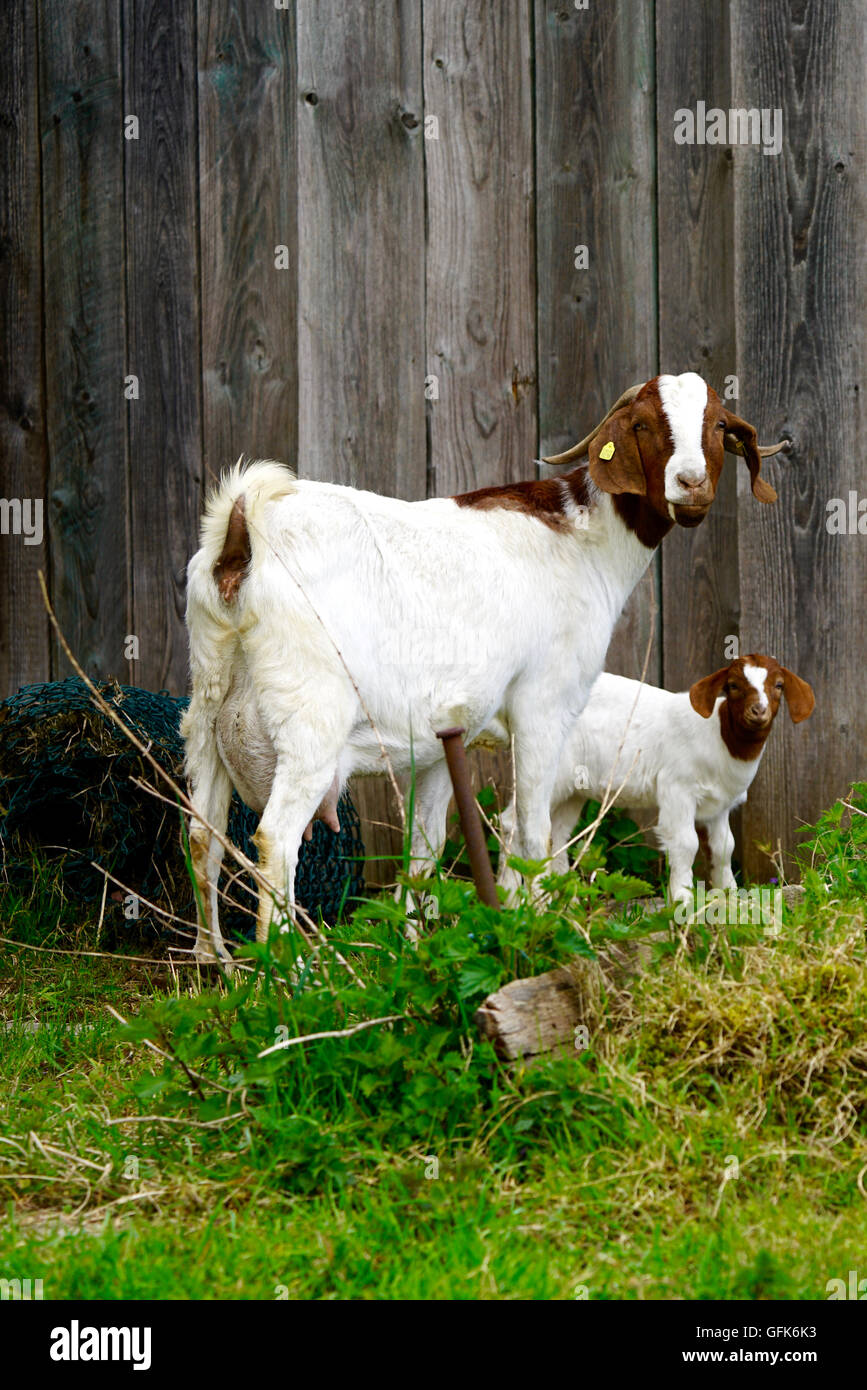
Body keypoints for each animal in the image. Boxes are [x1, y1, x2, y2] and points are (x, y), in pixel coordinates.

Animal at [498, 657, 815, 906]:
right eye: (734, 685)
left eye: (778, 685)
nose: (758, 711)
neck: (719, 735)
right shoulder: (677, 789)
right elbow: (686, 843)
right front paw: (683, 899)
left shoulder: (720, 804)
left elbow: (725, 846)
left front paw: (729, 895)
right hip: (547, 769)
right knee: (514, 822)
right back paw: (512, 900)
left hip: (573, 789)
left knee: (559, 834)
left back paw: (566, 902)